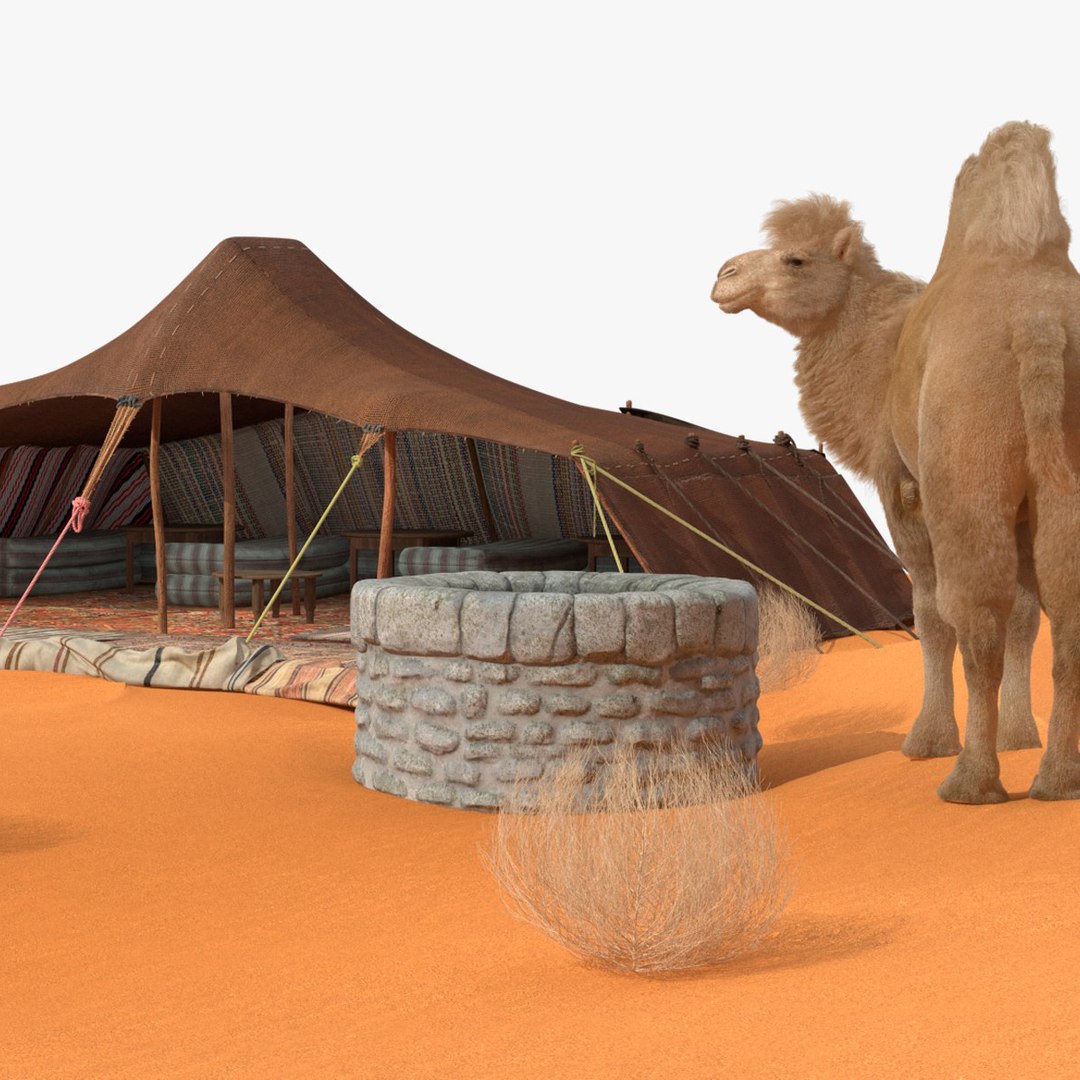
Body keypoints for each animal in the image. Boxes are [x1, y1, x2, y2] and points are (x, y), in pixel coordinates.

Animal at [710, 121, 1080, 803]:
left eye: (796, 259)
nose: (723, 275)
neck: (877, 348)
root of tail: (1037, 324)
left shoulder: (899, 481)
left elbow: (932, 615)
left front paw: (928, 741)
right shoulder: (1022, 502)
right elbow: (1025, 615)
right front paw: (1023, 735)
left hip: (967, 471)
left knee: (973, 612)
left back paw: (969, 780)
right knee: (1064, 607)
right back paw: (1057, 779)